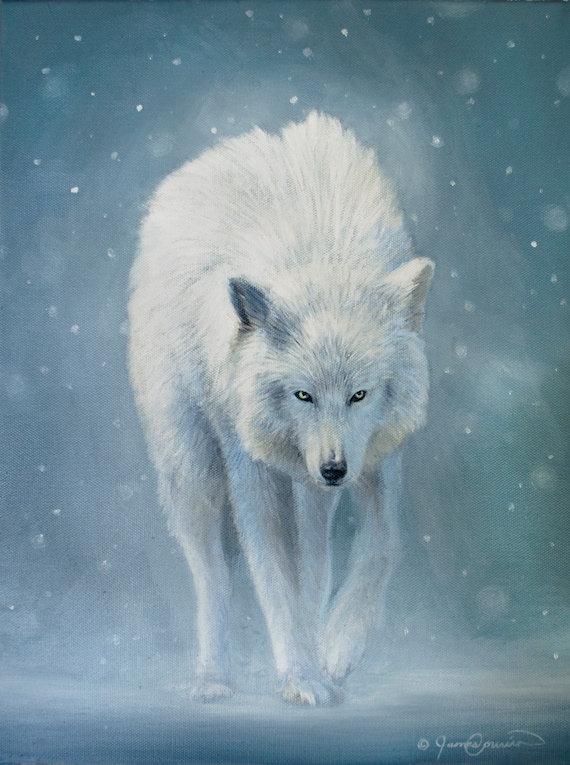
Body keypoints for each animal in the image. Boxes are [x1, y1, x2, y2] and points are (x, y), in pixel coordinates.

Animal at [128, 111, 434, 706]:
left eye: (360, 395)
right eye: (302, 394)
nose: (334, 469)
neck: (322, 256)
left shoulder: (377, 460)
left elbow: (381, 545)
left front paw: (335, 651)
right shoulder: (250, 468)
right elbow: (273, 576)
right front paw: (301, 676)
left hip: (309, 491)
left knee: (315, 560)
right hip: (194, 470)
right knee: (213, 575)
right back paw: (213, 679)